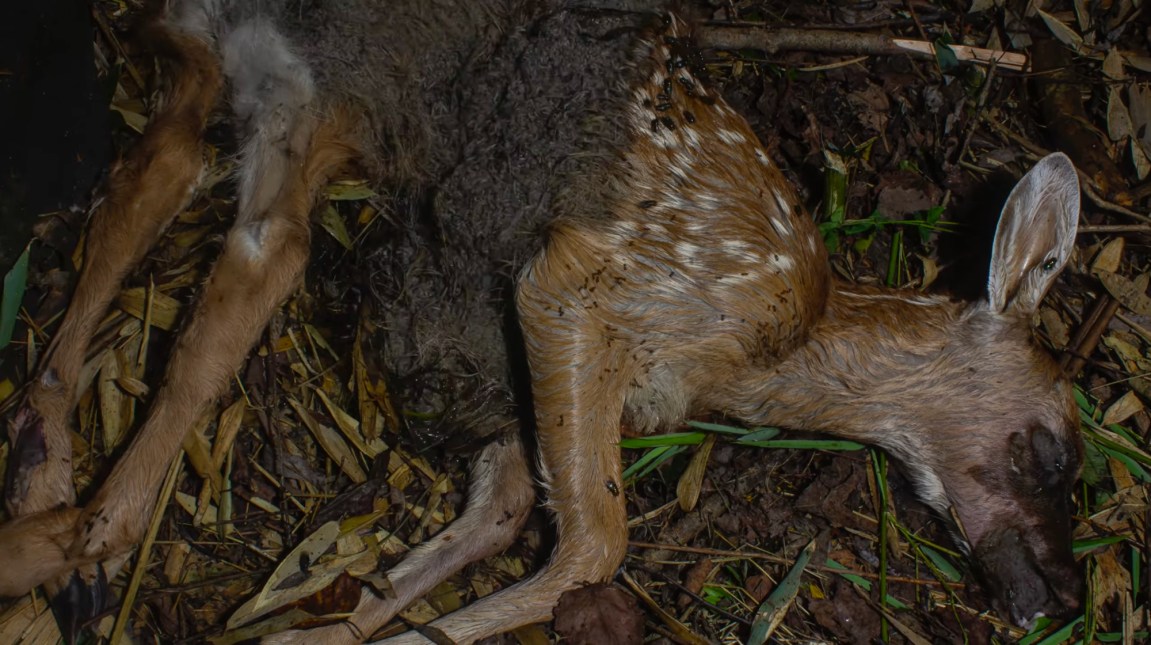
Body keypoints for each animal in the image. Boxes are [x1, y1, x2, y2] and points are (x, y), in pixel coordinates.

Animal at [0, 0, 1083, 642]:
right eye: (1053, 446)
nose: (1056, 596)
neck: (766, 354)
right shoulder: (585, 281)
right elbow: (593, 543)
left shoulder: (525, 356)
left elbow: (505, 510)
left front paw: (324, 627)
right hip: (317, 101)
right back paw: (56, 544)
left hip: (266, 96)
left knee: (157, 190)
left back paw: (42, 480)